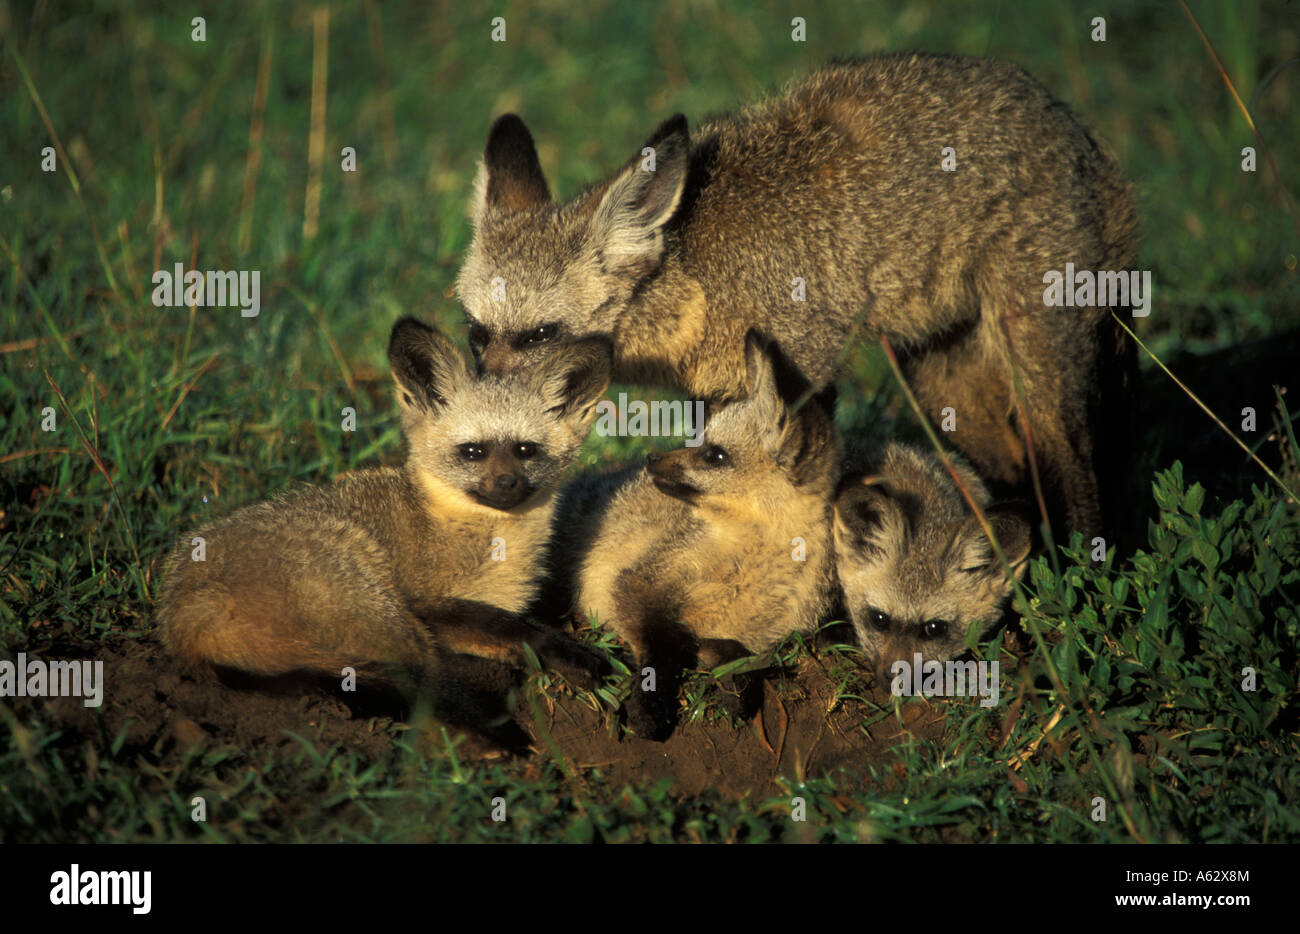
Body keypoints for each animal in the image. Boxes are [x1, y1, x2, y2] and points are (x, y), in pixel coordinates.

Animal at [155, 317, 613, 746]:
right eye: (473, 451)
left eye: (525, 450)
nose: (506, 484)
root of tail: (180, 614)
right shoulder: (426, 603)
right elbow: (510, 626)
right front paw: (571, 654)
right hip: (378, 603)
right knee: (421, 681)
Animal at [454, 52, 1139, 540]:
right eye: (476, 334)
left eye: (542, 334)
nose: (490, 414)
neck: (702, 280)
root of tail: (1080, 131)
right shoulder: (718, 392)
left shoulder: (805, 372)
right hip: (945, 386)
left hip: (1036, 370)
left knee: (1077, 479)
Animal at [548, 333, 840, 740]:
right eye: (699, 438)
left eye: (715, 455)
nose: (650, 459)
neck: (743, 571)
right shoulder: (634, 583)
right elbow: (663, 649)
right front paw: (649, 706)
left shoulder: (763, 634)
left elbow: (730, 653)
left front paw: (735, 690)